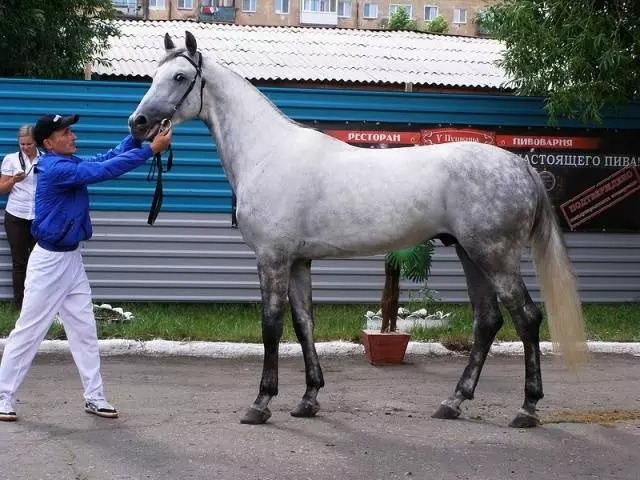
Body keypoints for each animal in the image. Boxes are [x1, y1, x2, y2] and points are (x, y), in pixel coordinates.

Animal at [129, 31, 584, 428]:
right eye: (154, 75)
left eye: (180, 77)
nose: (139, 122)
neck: (267, 153)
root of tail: (520, 166)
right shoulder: (299, 261)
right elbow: (304, 323)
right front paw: (308, 399)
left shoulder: (272, 258)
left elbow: (271, 324)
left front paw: (261, 402)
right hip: (470, 254)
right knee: (487, 320)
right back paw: (453, 402)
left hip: (495, 255)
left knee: (526, 317)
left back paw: (527, 408)